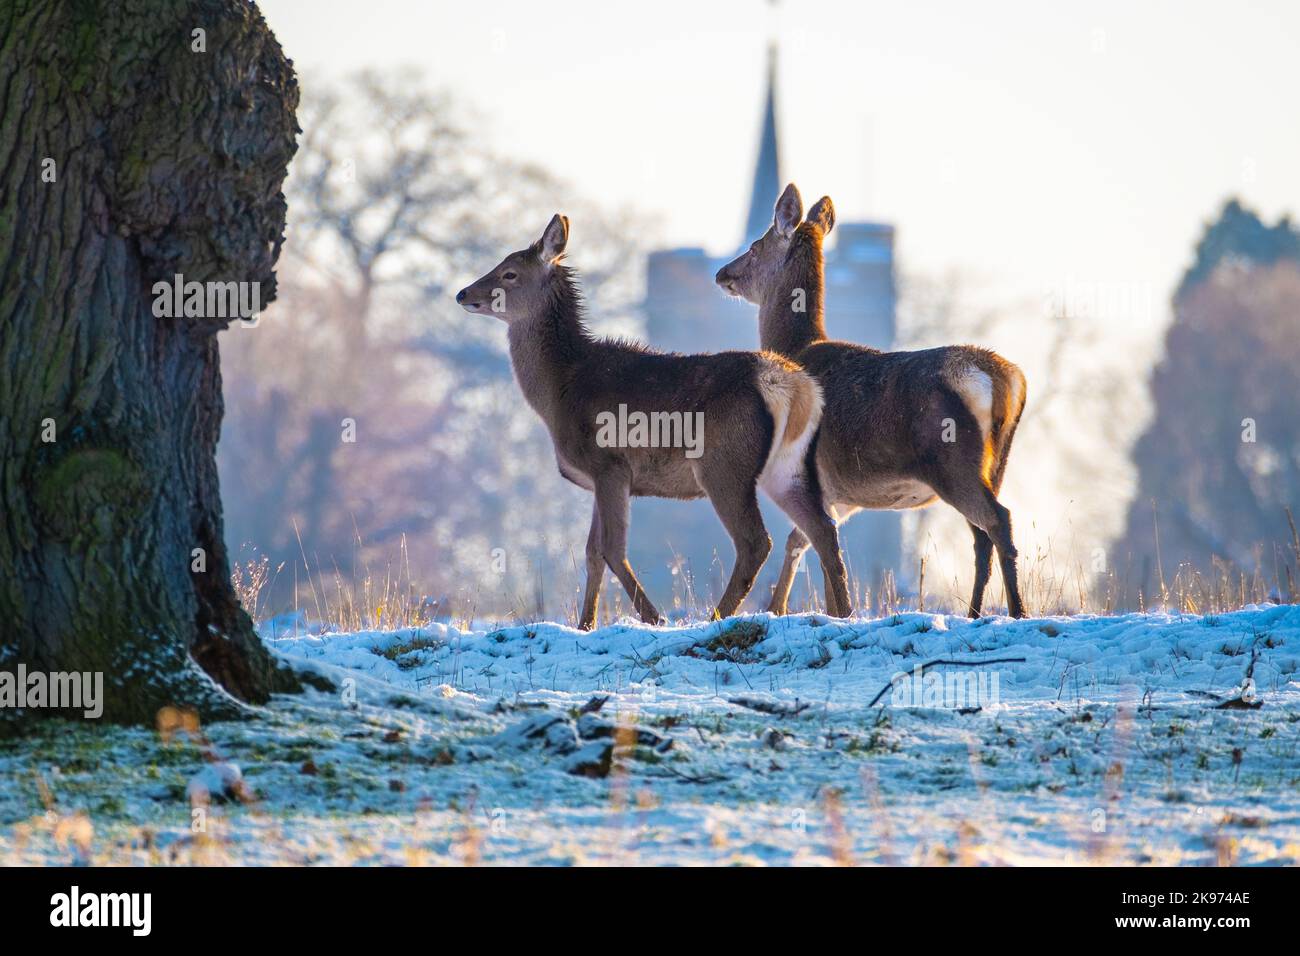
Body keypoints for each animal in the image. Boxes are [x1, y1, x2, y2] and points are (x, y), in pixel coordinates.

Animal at [457, 213, 852, 630]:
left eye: (510, 273)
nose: (463, 294)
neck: (559, 391)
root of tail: (793, 386)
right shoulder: (600, 478)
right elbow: (592, 553)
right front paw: (585, 625)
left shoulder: (609, 464)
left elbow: (612, 549)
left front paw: (654, 618)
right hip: (787, 465)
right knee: (823, 529)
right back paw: (844, 613)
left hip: (724, 463)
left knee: (756, 540)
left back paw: (716, 616)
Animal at [716, 184, 1029, 618]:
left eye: (755, 245)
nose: (722, 273)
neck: (796, 348)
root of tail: (1005, 381)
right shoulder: (839, 494)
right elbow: (805, 542)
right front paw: (801, 609)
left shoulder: (815, 475)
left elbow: (809, 543)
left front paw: (797, 610)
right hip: (995, 465)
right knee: (983, 535)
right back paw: (975, 613)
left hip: (954, 460)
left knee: (999, 520)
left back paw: (1016, 611)